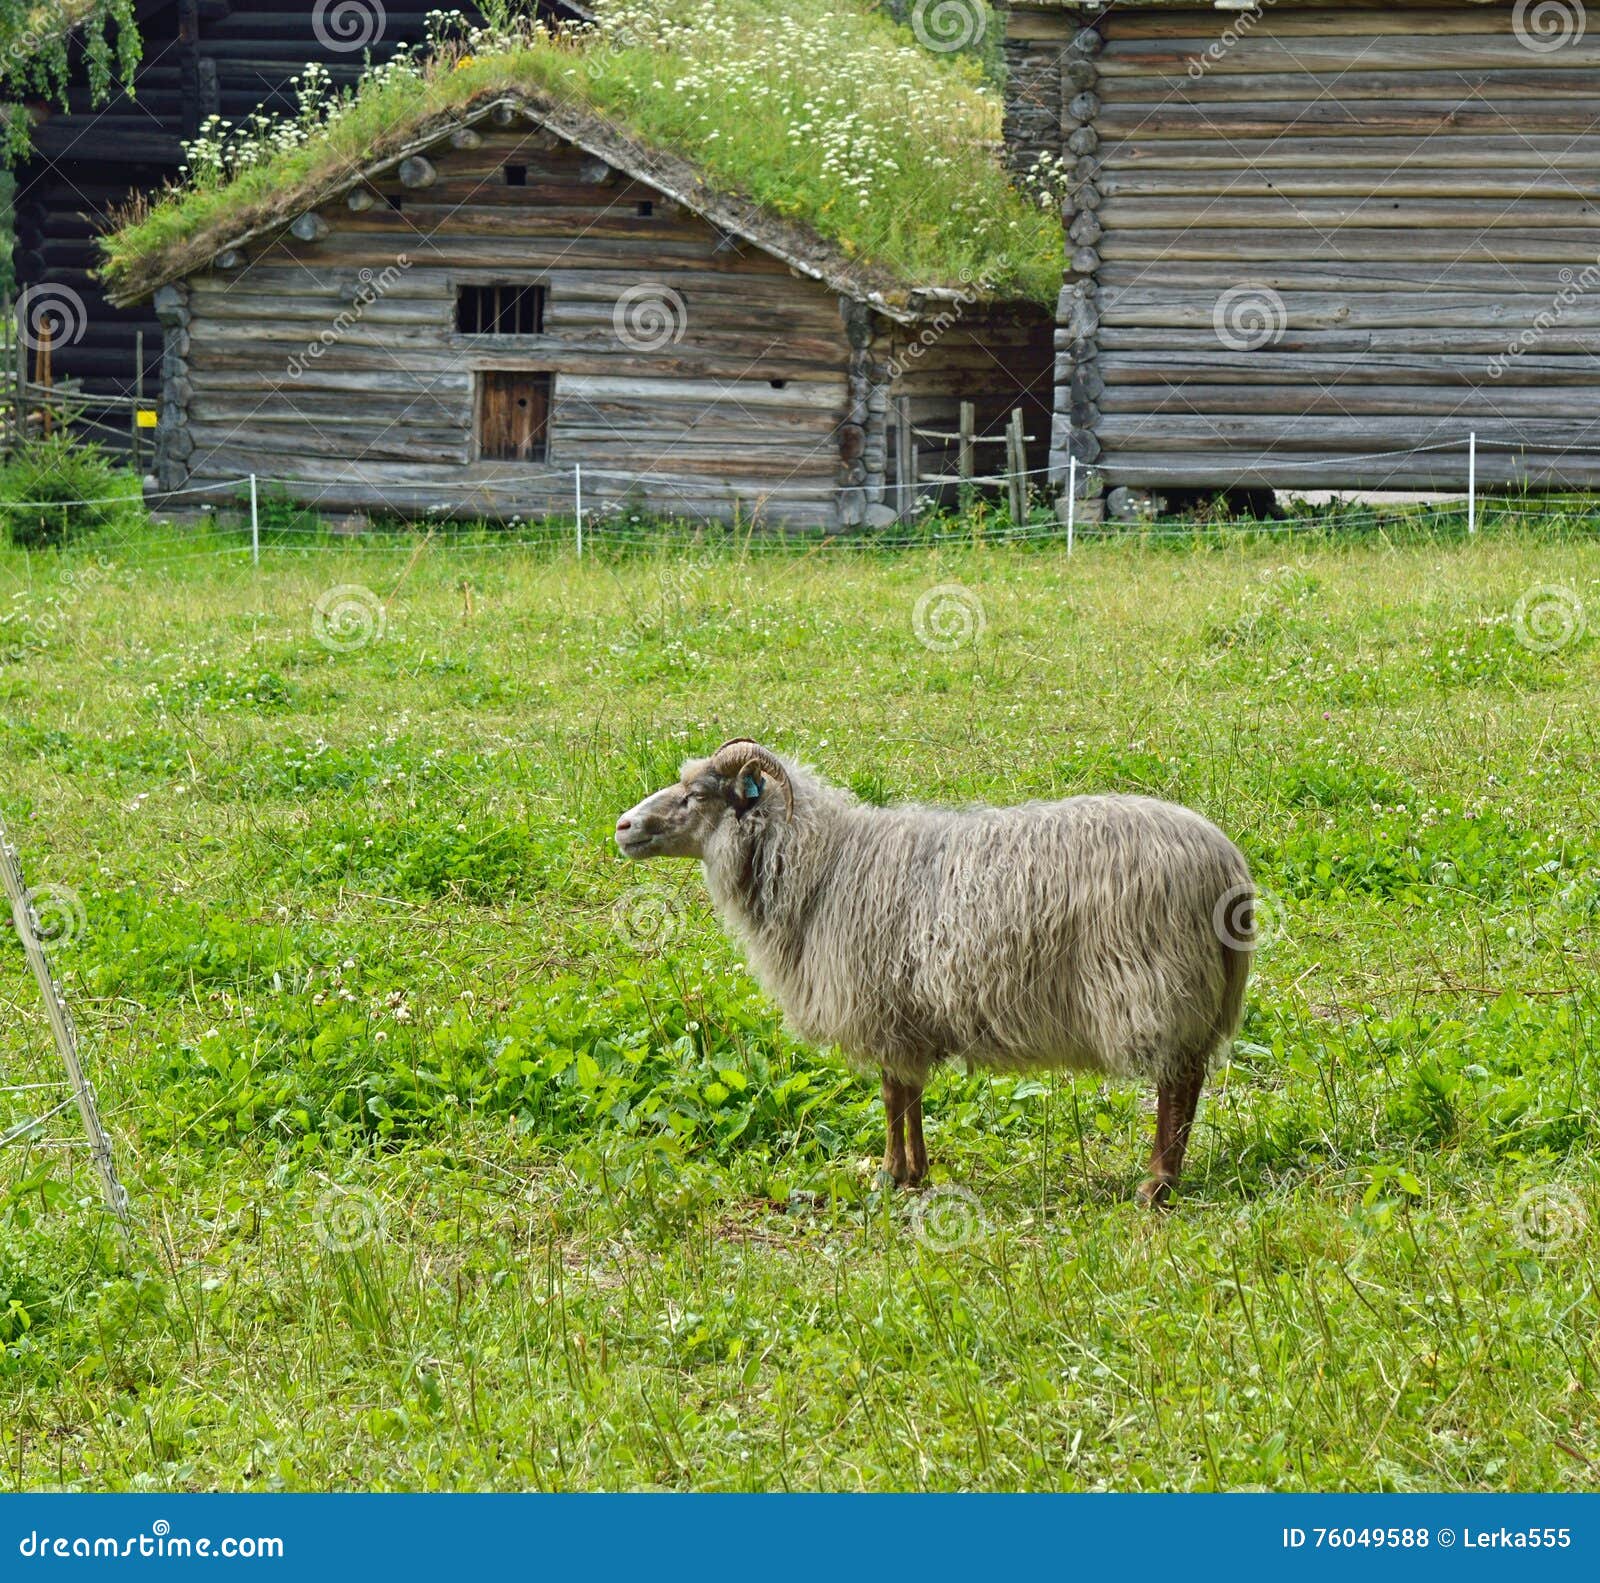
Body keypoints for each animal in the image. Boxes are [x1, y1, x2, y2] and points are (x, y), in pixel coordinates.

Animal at [615, 740, 1254, 1204]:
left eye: (696, 795)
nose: (622, 827)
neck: (823, 869)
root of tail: (1227, 866)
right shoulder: (904, 1015)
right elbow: (910, 1094)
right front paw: (915, 1171)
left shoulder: (879, 1008)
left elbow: (892, 1096)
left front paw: (893, 1175)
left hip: (1155, 988)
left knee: (1178, 1083)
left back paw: (1157, 1185)